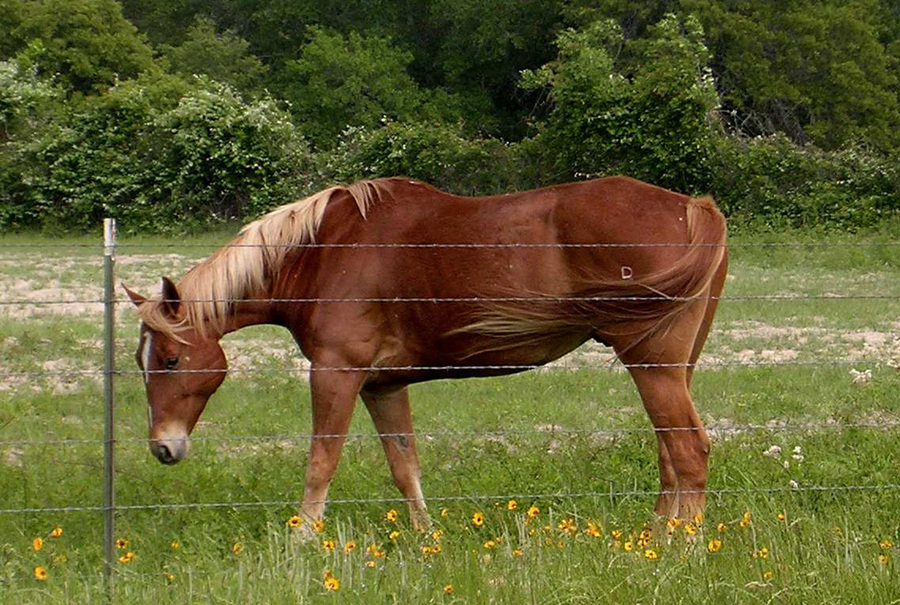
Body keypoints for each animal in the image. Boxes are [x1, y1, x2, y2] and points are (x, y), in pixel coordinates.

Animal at [124, 176, 728, 530]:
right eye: (140, 362)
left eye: (171, 360)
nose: (163, 448)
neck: (322, 252)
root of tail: (693, 207)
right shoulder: (382, 385)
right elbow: (404, 467)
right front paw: (424, 540)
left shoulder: (336, 375)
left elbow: (321, 464)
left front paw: (303, 542)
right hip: (675, 368)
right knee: (670, 454)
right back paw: (657, 535)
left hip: (654, 366)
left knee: (689, 451)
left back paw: (683, 546)